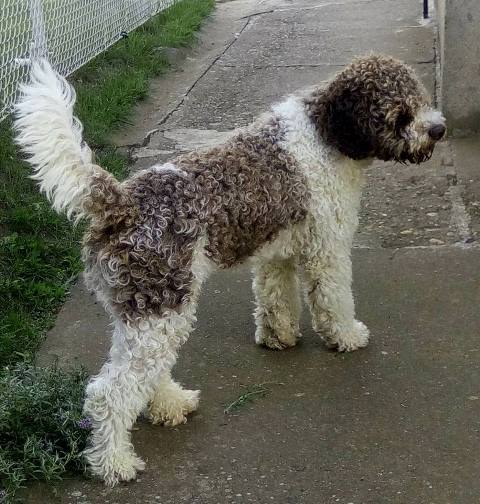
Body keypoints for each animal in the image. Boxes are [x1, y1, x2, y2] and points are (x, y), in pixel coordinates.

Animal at [14, 54, 446, 484]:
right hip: (161, 307)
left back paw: (171, 404)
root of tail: (121, 201)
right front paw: (347, 335)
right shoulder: (328, 249)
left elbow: (275, 299)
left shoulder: (275, 252)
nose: (439, 129)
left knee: (142, 371)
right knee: (109, 393)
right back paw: (114, 463)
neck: (326, 132)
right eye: (400, 112)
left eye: (421, 96)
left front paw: (278, 337)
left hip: (143, 310)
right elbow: (333, 299)